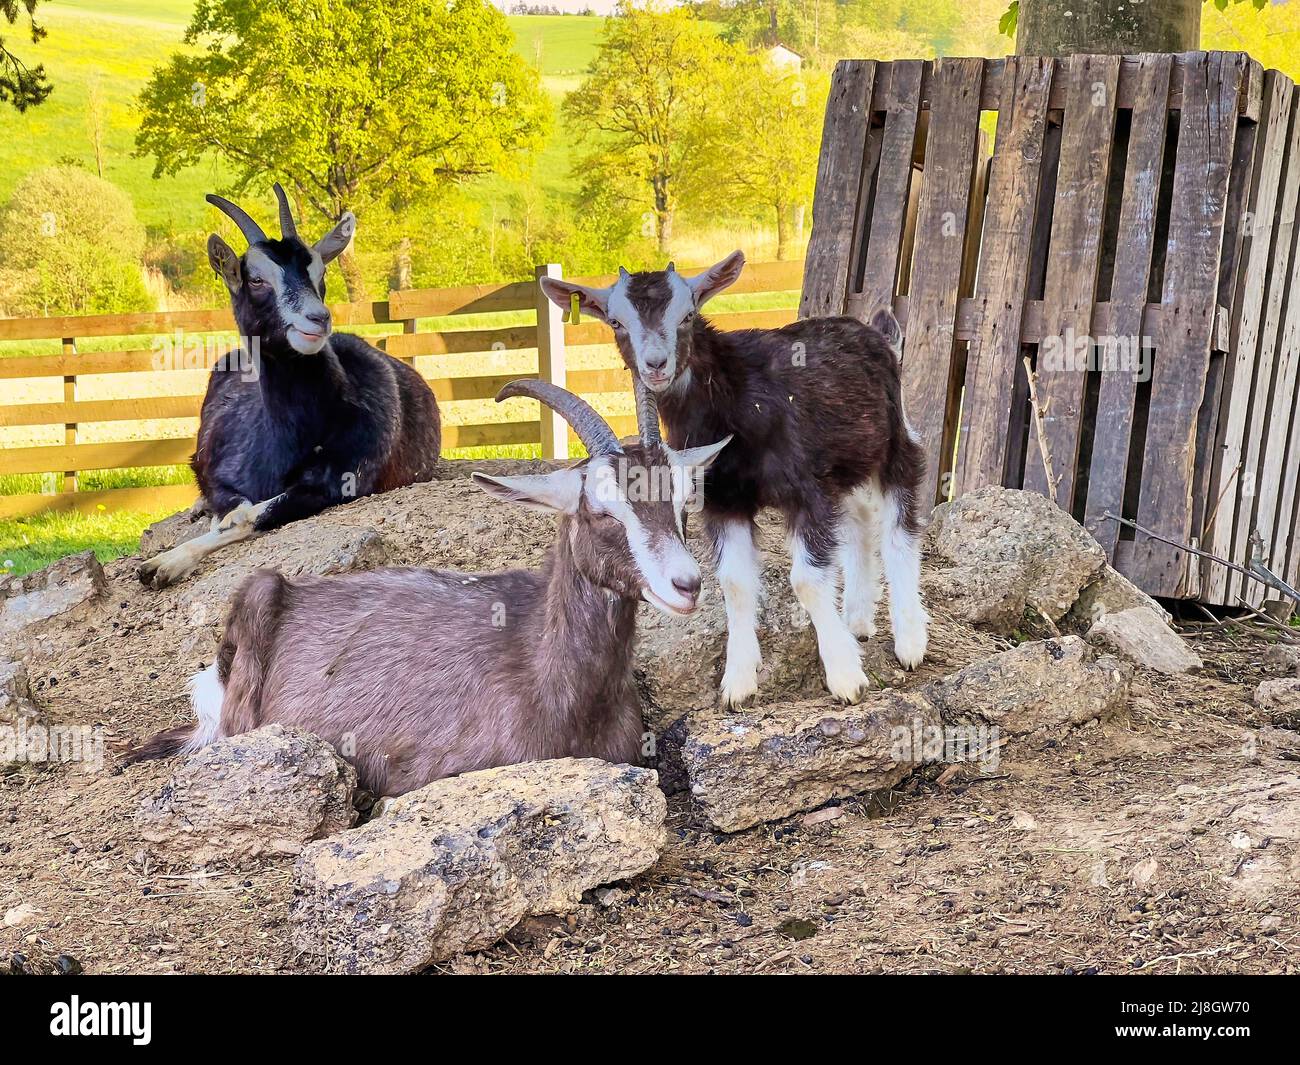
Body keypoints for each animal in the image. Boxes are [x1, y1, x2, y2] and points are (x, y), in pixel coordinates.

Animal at [138, 185, 441, 589]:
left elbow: (246, 516)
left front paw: (164, 564)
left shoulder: (339, 484)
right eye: (255, 279)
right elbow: (231, 510)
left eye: (320, 271)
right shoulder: (222, 477)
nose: (317, 319)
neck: (290, 440)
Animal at [540, 252, 928, 708]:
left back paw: (910, 641)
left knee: (900, 527)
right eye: (616, 322)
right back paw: (858, 619)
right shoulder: (723, 499)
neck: (738, 396)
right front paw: (738, 682)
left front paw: (846, 678)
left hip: (894, 444)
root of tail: (877, 333)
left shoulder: (808, 490)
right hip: (844, 464)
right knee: (858, 522)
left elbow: (807, 581)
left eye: (688, 314)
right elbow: (735, 583)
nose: (655, 364)